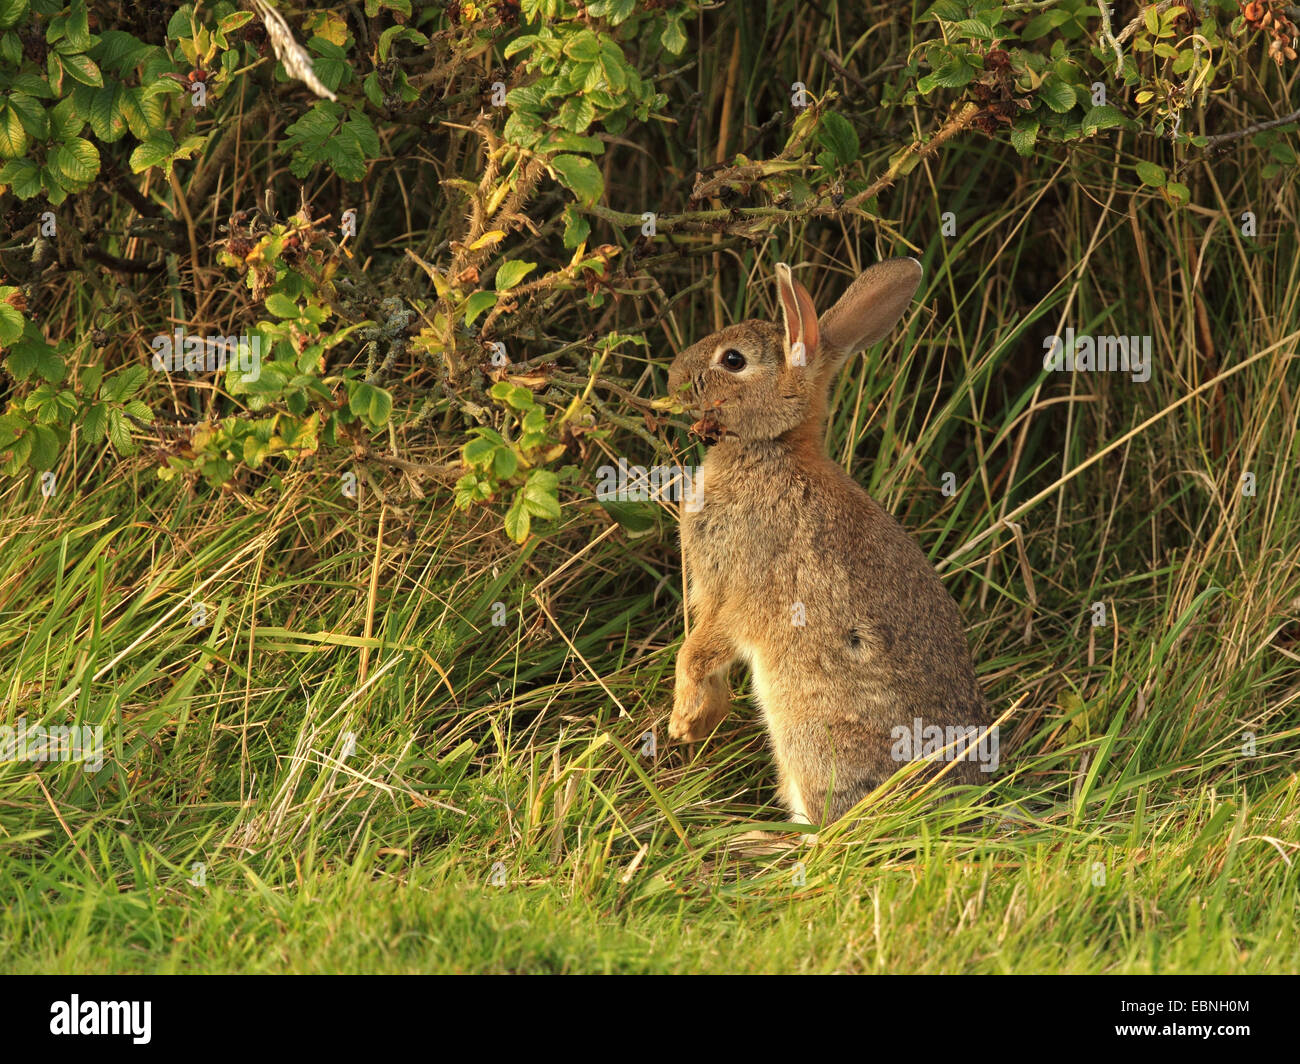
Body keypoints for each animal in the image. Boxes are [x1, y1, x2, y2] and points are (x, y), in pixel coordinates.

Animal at [665, 257, 992, 825]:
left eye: (733, 360)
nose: (673, 377)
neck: (773, 448)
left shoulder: (740, 590)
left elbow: (701, 650)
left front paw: (682, 720)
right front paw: (701, 721)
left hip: (809, 736)